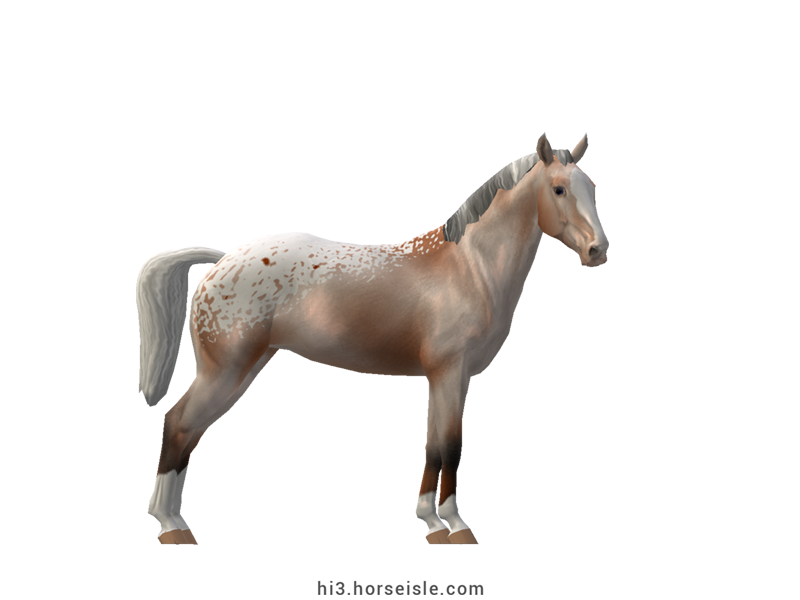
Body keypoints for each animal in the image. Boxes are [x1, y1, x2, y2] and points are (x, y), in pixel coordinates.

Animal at [139, 133, 608, 544]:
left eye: (588, 186)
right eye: (560, 189)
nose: (597, 250)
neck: (470, 267)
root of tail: (215, 264)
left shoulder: (442, 376)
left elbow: (434, 444)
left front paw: (429, 521)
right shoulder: (449, 371)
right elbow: (451, 443)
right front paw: (456, 524)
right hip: (226, 371)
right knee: (179, 423)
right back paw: (168, 525)